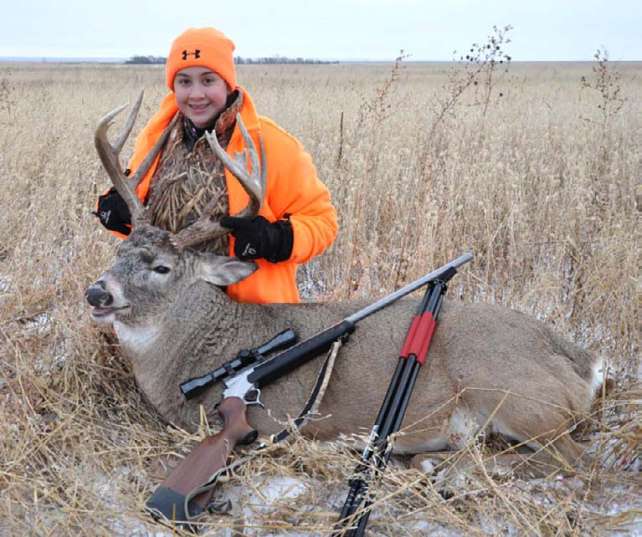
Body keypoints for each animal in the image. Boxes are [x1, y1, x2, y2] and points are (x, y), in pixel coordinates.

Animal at [86, 96, 603, 478]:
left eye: (162, 267)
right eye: (119, 253)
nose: (98, 293)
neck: (197, 352)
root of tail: (582, 359)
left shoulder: (267, 421)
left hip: (511, 389)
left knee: (575, 461)